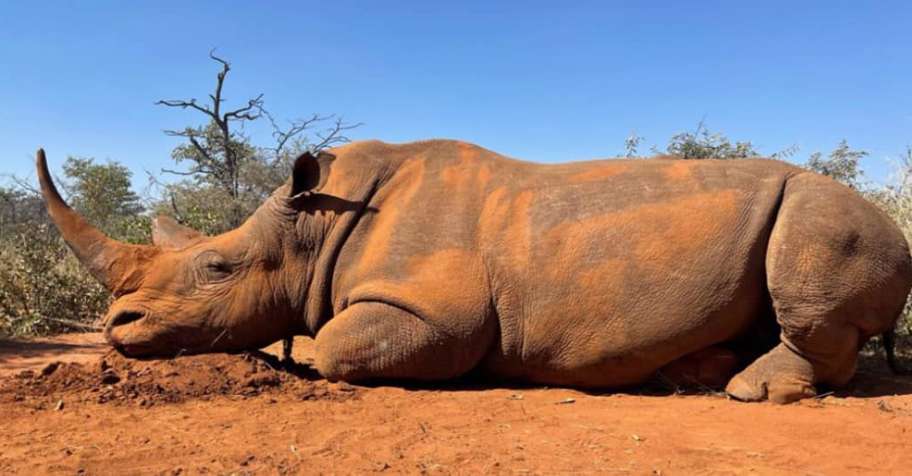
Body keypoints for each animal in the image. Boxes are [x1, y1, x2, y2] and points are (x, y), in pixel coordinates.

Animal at [37, 140, 912, 403]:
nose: (118, 330)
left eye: (217, 267)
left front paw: (290, 363)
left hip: (840, 213)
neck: (311, 227)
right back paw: (690, 373)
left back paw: (747, 391)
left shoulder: (429, 315)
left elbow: (340, 346)